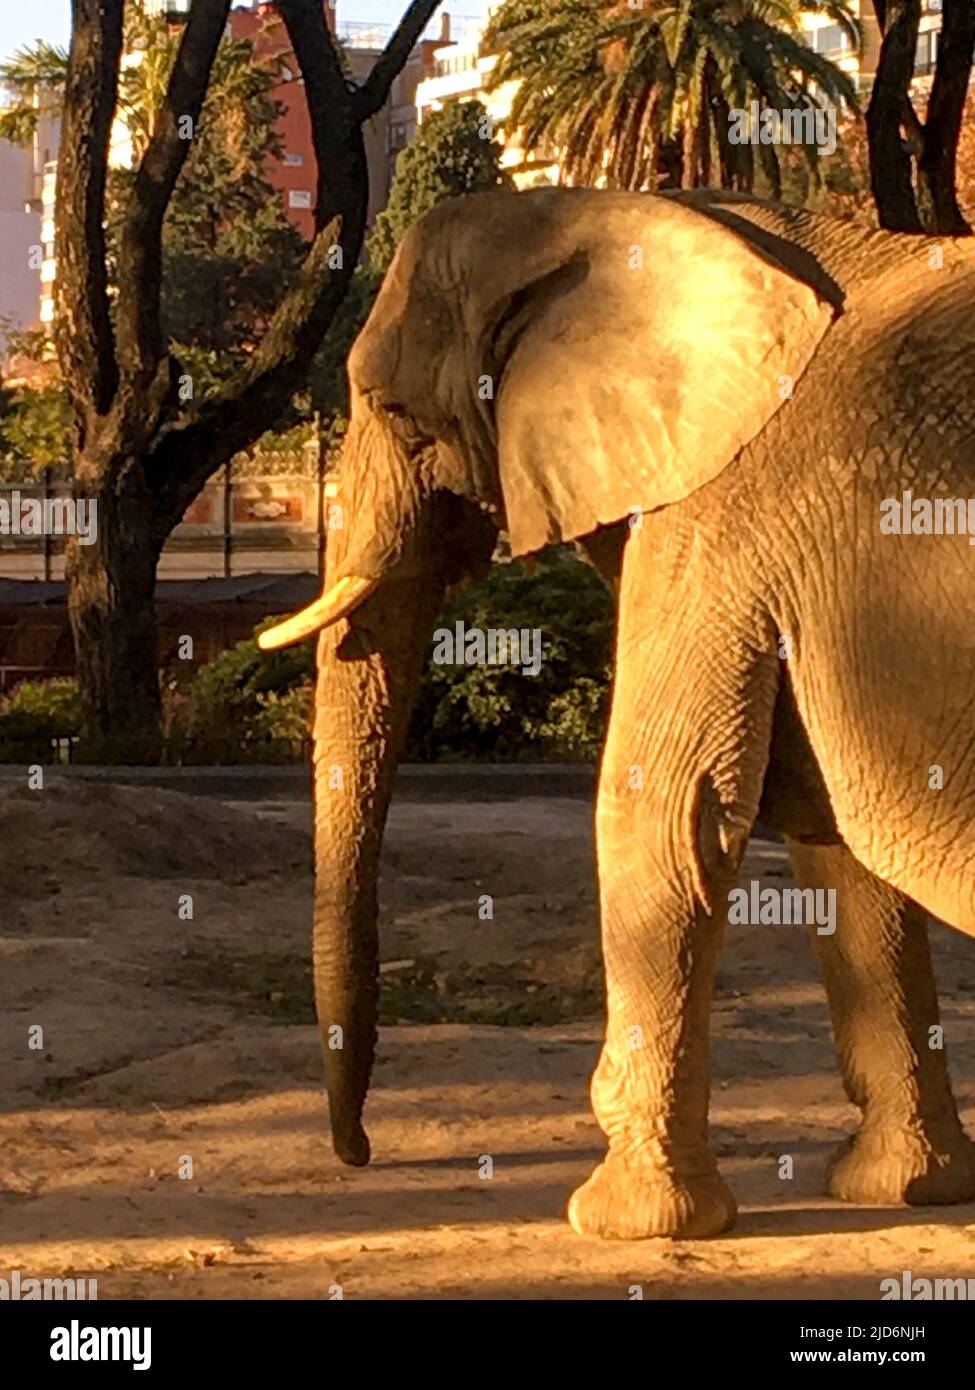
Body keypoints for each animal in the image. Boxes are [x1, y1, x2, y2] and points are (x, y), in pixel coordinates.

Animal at [259, 185, 975, 1239]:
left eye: (393, 410)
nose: (358, 1154)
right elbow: (830, 845)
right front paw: (899, 1190)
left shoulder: (722, 514)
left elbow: (662, 809)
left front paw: (622, 1223)